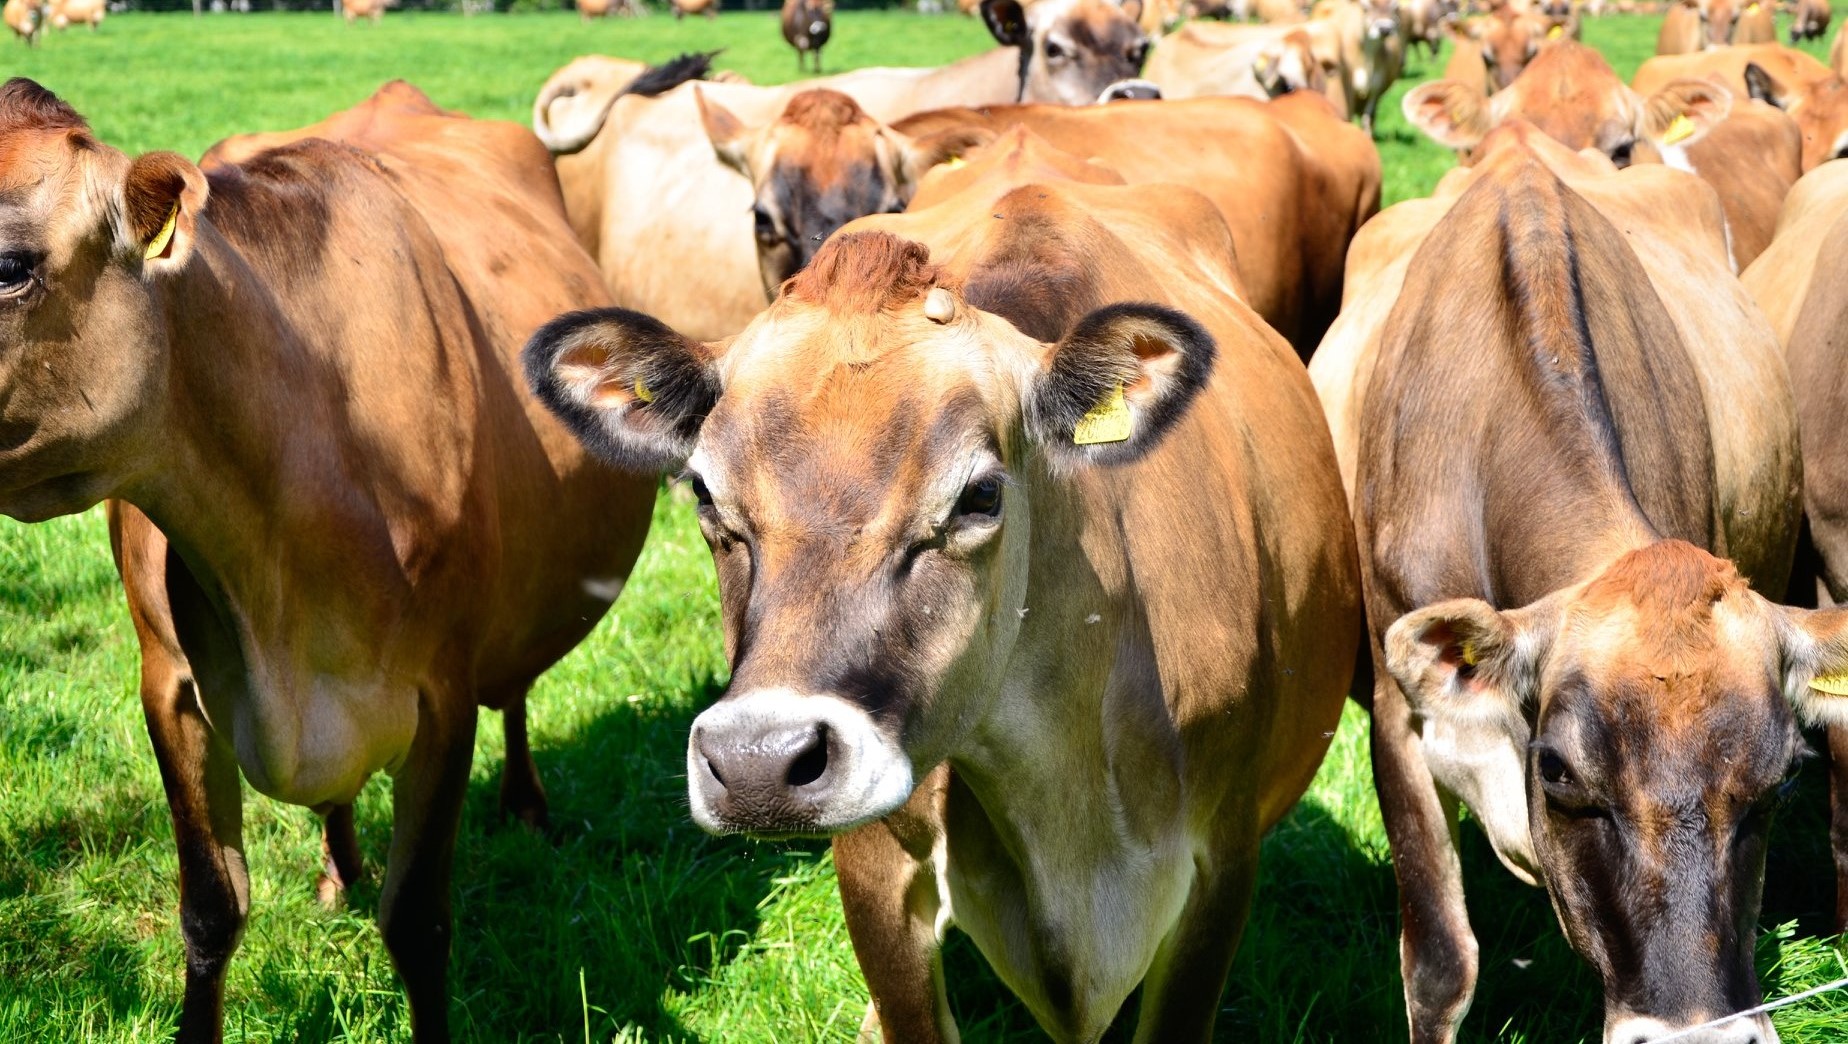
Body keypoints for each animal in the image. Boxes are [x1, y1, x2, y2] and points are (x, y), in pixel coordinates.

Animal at [0, 78, 655, 1043]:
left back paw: (527, 805)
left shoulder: (443, 696)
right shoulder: (166, 685)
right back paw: (337, 868)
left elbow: (418, 920)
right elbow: (210, 908)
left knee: (517, 691)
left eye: (11, 266)